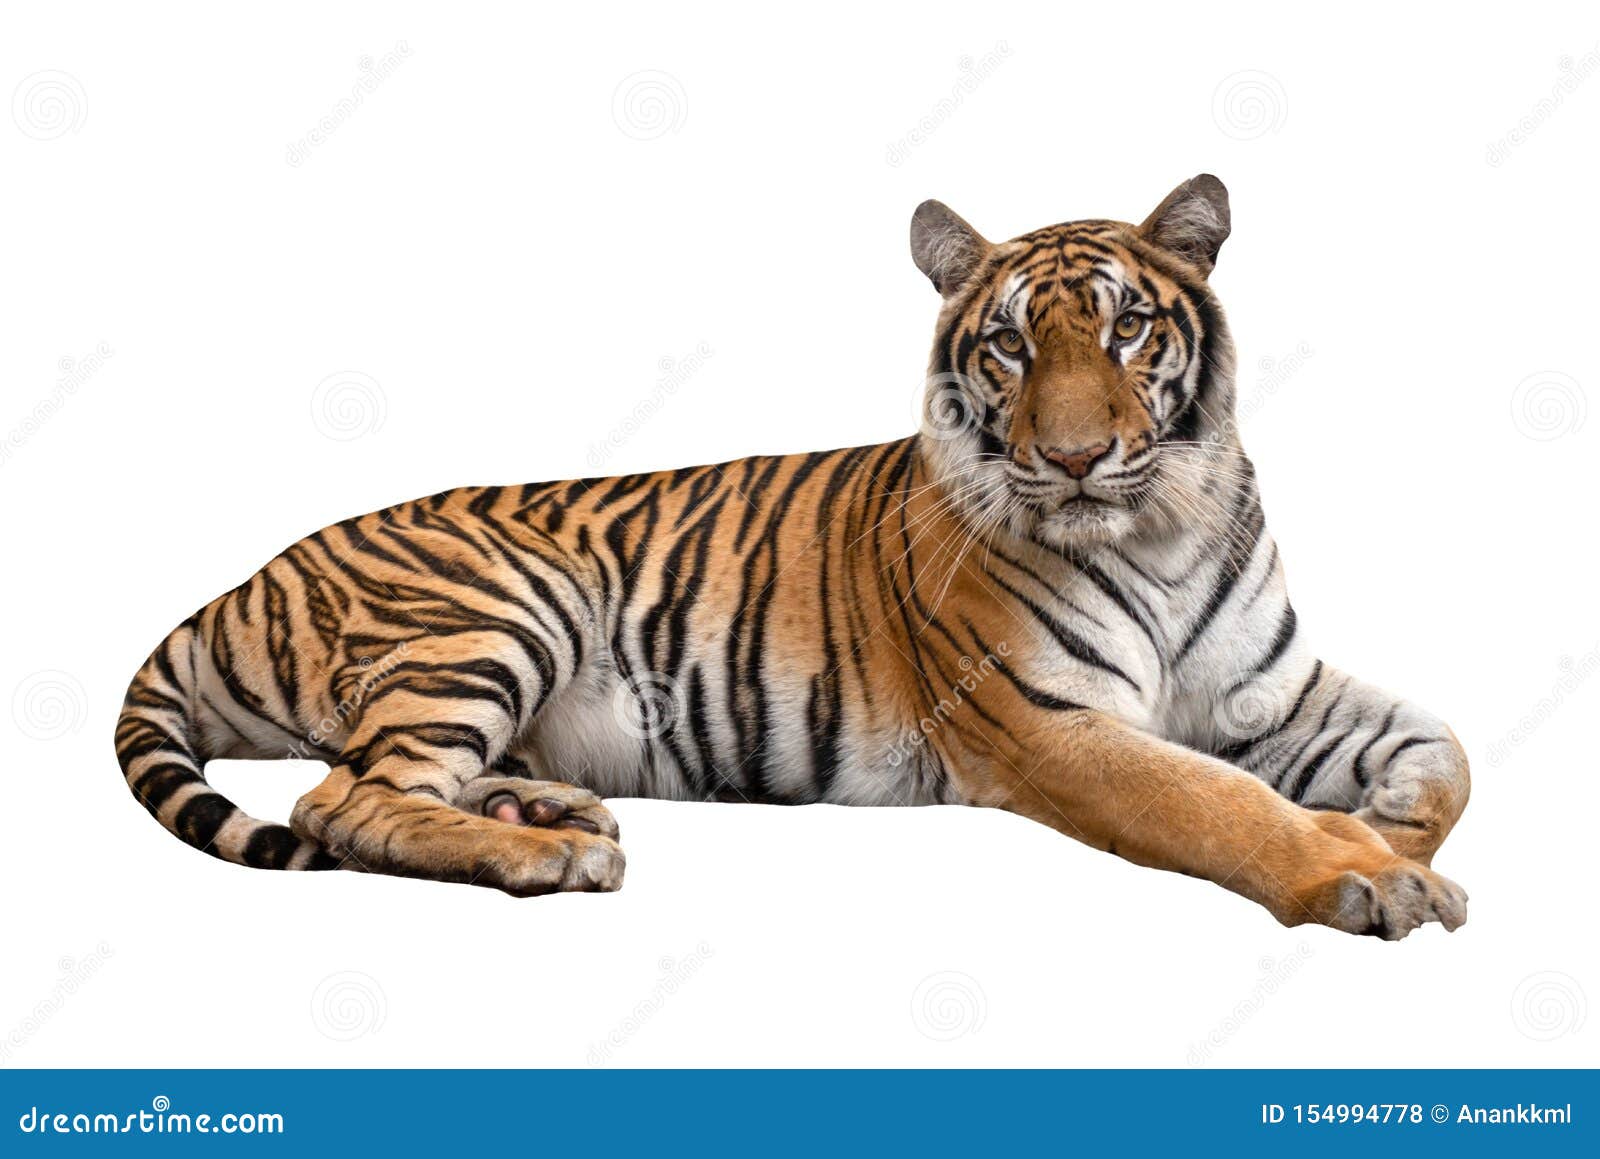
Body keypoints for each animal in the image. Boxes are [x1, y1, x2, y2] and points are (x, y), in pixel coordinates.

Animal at [116, 175, 1470, 938]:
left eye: (1128, 327)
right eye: (1010, 347)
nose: (1078, 457)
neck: (1162, 526)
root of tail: (246, 576)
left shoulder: (1265, 691)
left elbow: (1443, 755)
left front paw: (1390, 834)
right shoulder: (1049, 725)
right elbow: (1216, 804)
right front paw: (1366, 876)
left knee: (384, 782)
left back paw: (547, 806)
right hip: (497, 608)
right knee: (342, 800)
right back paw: (551, 854)